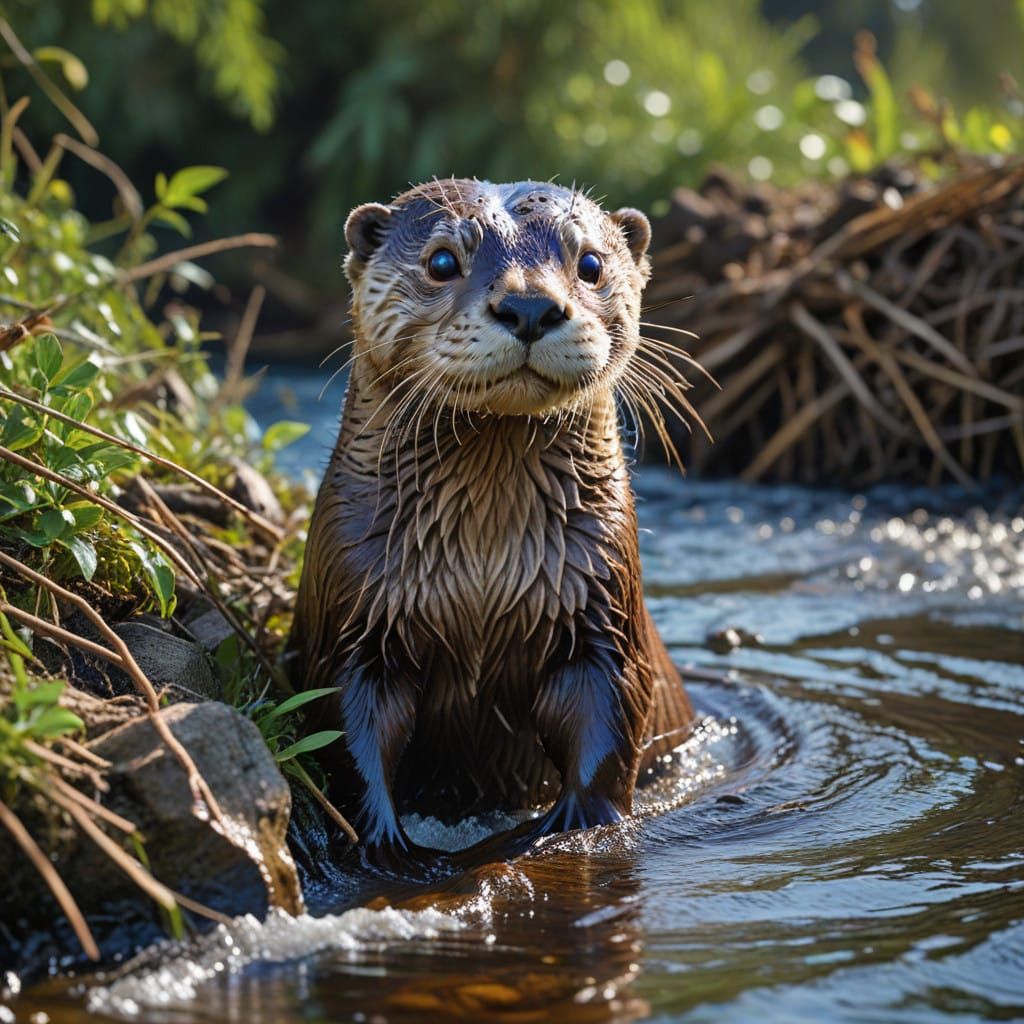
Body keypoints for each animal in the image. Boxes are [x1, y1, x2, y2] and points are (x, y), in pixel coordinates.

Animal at [291, 179, 694, 867]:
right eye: (442, 260)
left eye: (591, 263)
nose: (530, 305)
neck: (483, 574)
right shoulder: (353, 609)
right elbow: (344, 727)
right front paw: (386, 844)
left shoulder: (602, 599)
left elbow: (610, 712)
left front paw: (572, 825)